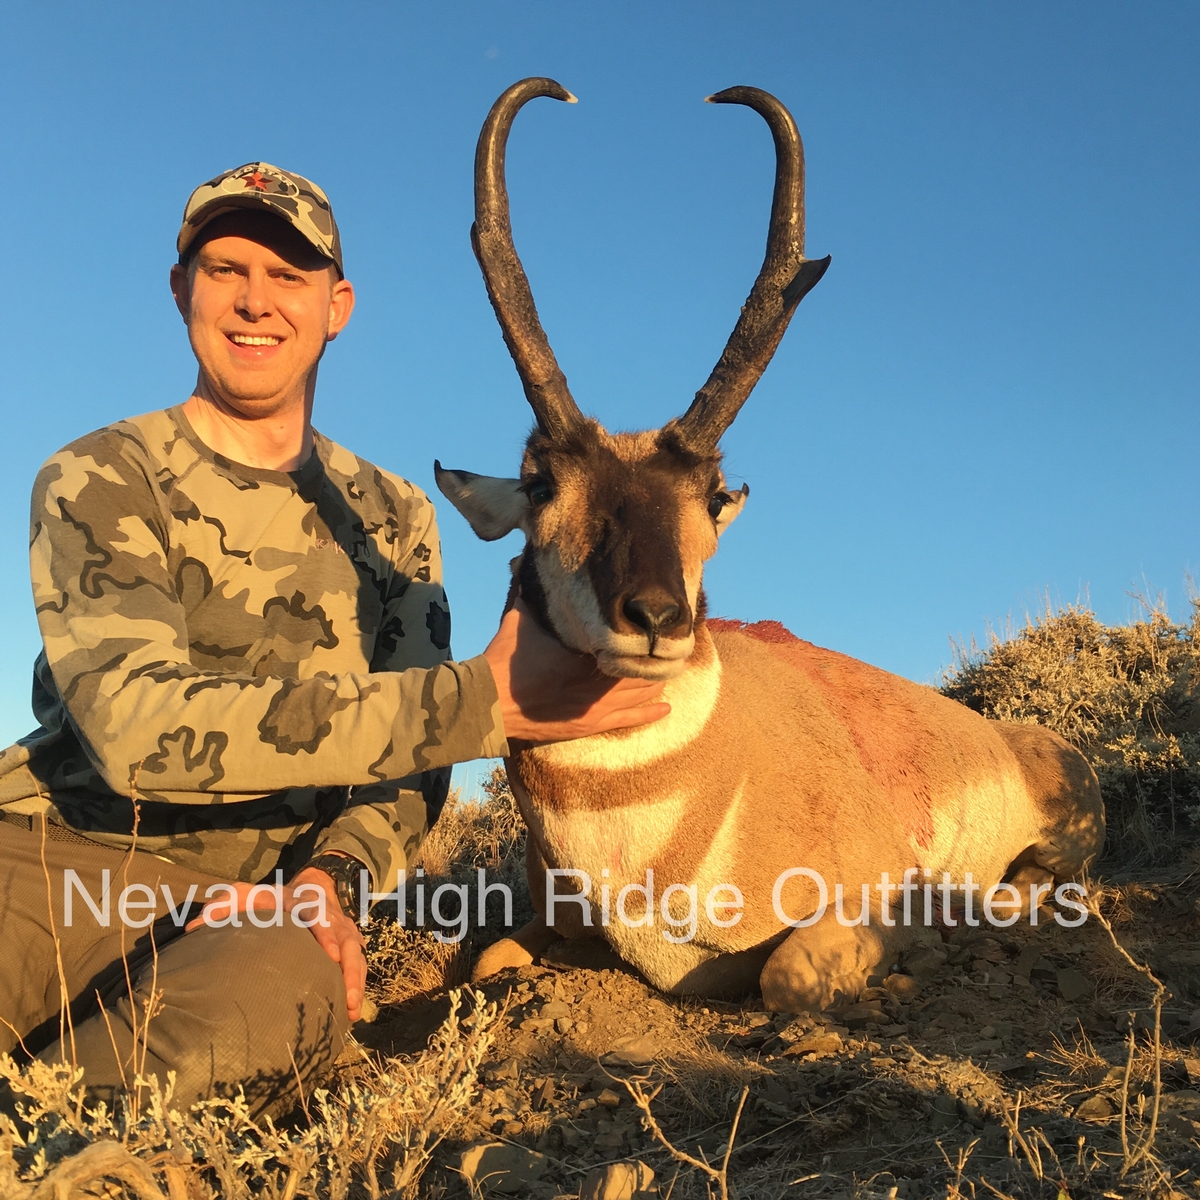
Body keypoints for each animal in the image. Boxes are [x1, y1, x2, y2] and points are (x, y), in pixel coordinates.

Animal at [436, 78, 1105, 1011]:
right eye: (538, 485)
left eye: (711, 495)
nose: (656, 619)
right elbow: (487, 959)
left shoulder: (866, 905)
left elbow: (786, 975)